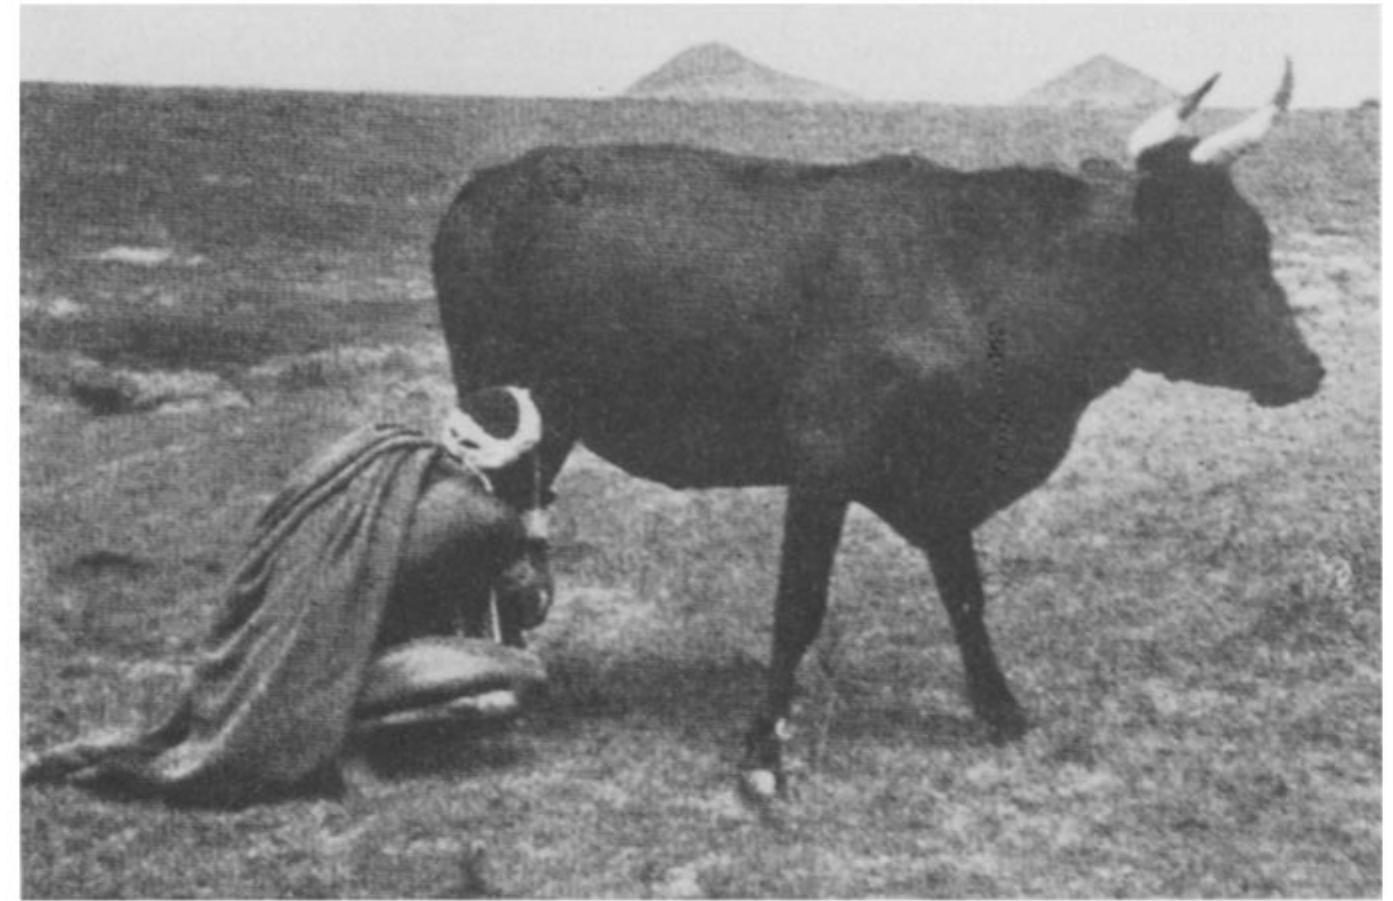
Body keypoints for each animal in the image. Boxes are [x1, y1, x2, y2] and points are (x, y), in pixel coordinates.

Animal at [430, 62, 1323, 796]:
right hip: (500, 408)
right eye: (1228, 244)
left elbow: (965, 594)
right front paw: (763, 749)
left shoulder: (936, 484)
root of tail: (488, 180)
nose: (1308, 368)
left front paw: (1000, 709)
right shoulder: (824, 468)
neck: (980, 275)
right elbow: (798, 603)